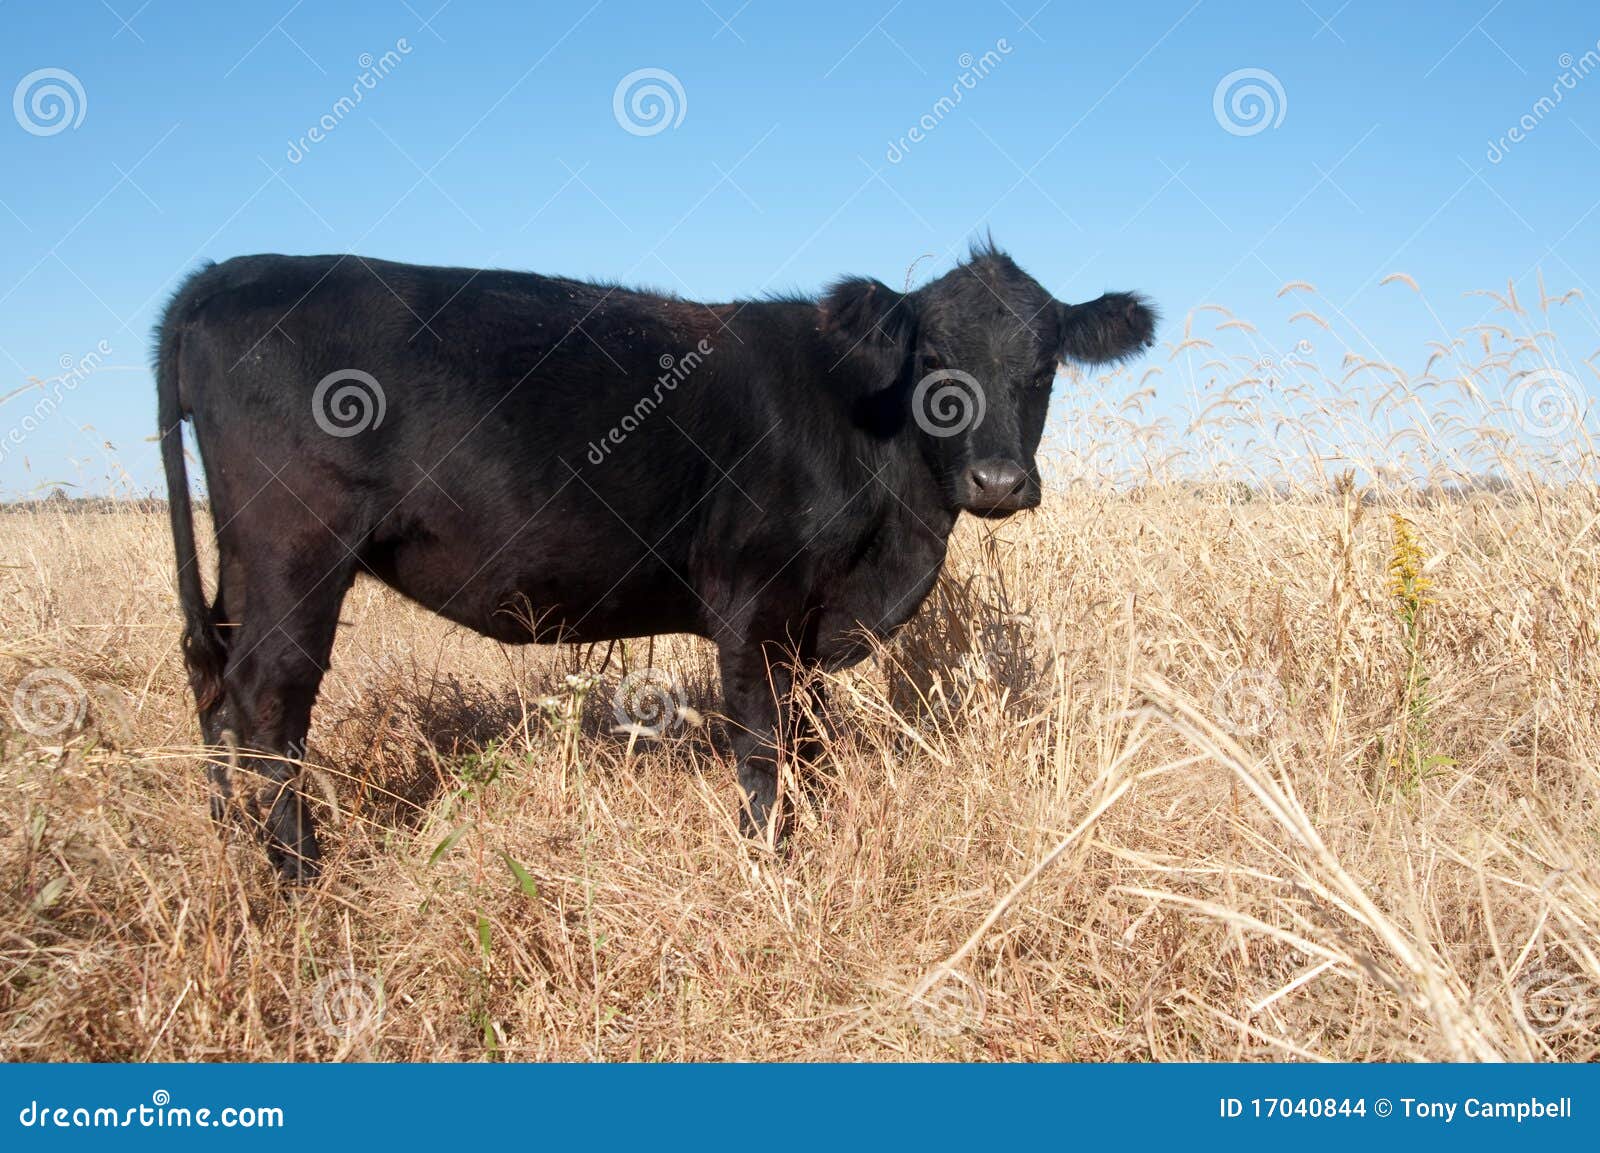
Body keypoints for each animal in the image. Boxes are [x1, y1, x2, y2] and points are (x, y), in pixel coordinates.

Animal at [155, 242, 1154, 882]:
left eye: (1046, 364)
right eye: (934, 357)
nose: (999, 479)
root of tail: (223, 275)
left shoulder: (809, 621)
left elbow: (808, 735)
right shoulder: (755, 600)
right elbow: (763, 740)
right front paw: (771, 861)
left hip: (243, 556)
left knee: (214, 677)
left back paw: (227, 837)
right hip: (296, 545)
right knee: (268, 691)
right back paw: (298, 873)